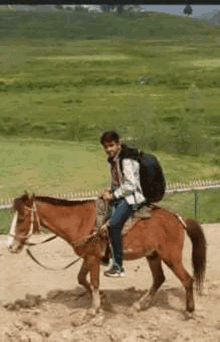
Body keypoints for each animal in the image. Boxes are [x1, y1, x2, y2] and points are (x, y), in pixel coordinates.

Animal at [7, 192, 206, 316]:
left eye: (22, 218)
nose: (10, 246)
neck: (80, 221)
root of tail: (178, 218)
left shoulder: (93, 258)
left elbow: (94, 282)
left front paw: (94, 309)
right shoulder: (88, 257)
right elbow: (81, 278)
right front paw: (103, 300)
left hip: (171, 257)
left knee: (187, 279)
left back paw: (189, 311)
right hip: (153, 256)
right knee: (159, 279)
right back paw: (138, 305)